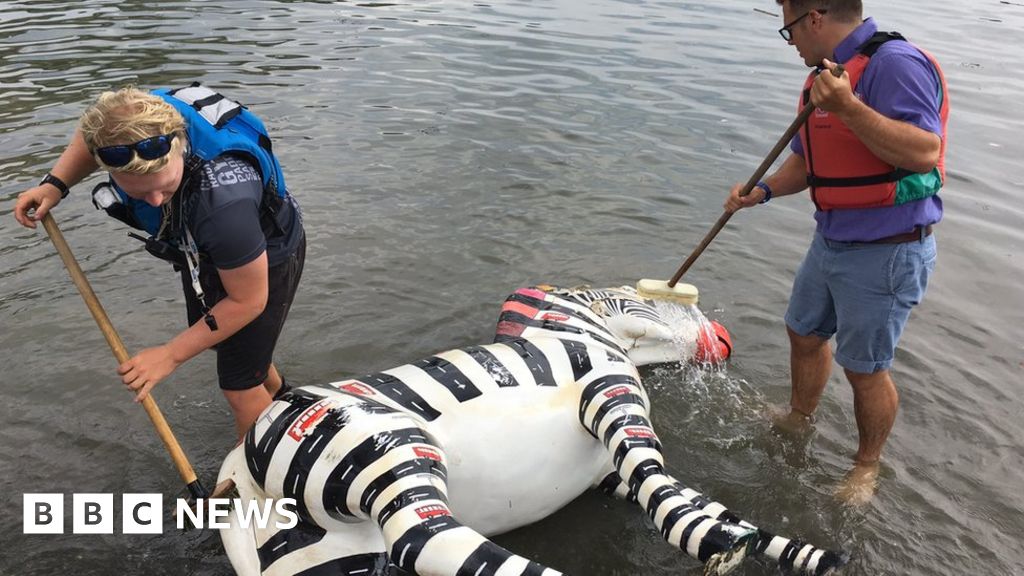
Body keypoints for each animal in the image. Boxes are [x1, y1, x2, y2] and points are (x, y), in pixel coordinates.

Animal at [217, 285, 846, 576]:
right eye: (643, 298)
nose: (724, 339)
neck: (580, 332)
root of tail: (233, 479)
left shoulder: (602, 473)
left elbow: (705, 503)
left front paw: (814, 556)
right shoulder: (608, 396)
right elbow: (663, 486)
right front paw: (719, 544)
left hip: (317, 556)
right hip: (387, 450)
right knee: (429, 536)